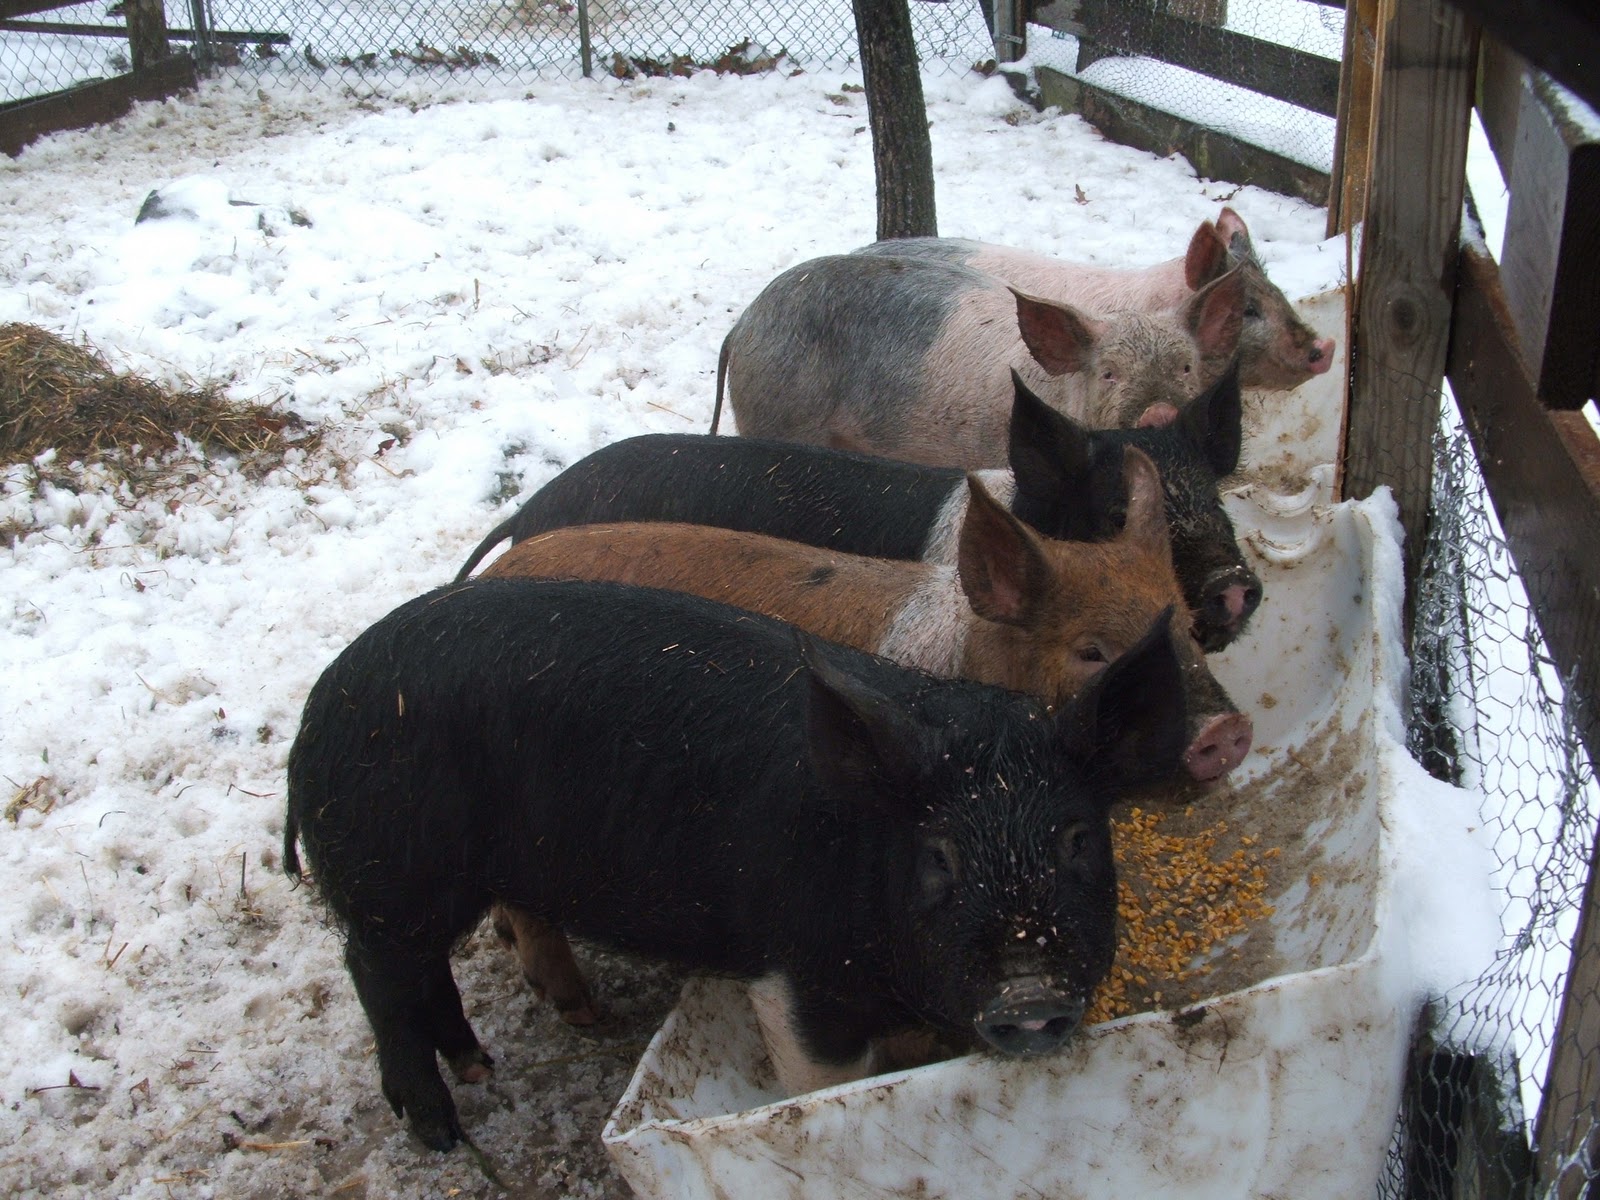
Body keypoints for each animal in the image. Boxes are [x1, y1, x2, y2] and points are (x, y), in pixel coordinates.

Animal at [284, 577, 1189, 1148]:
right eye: (939, 855)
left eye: (1079, 840)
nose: (1030, 994)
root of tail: (318, 710)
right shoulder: (799, 975)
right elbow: (824, 1081)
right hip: (393, 874)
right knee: (376, 974)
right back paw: (441, 1132)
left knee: (424, 974)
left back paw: (485, 1062)